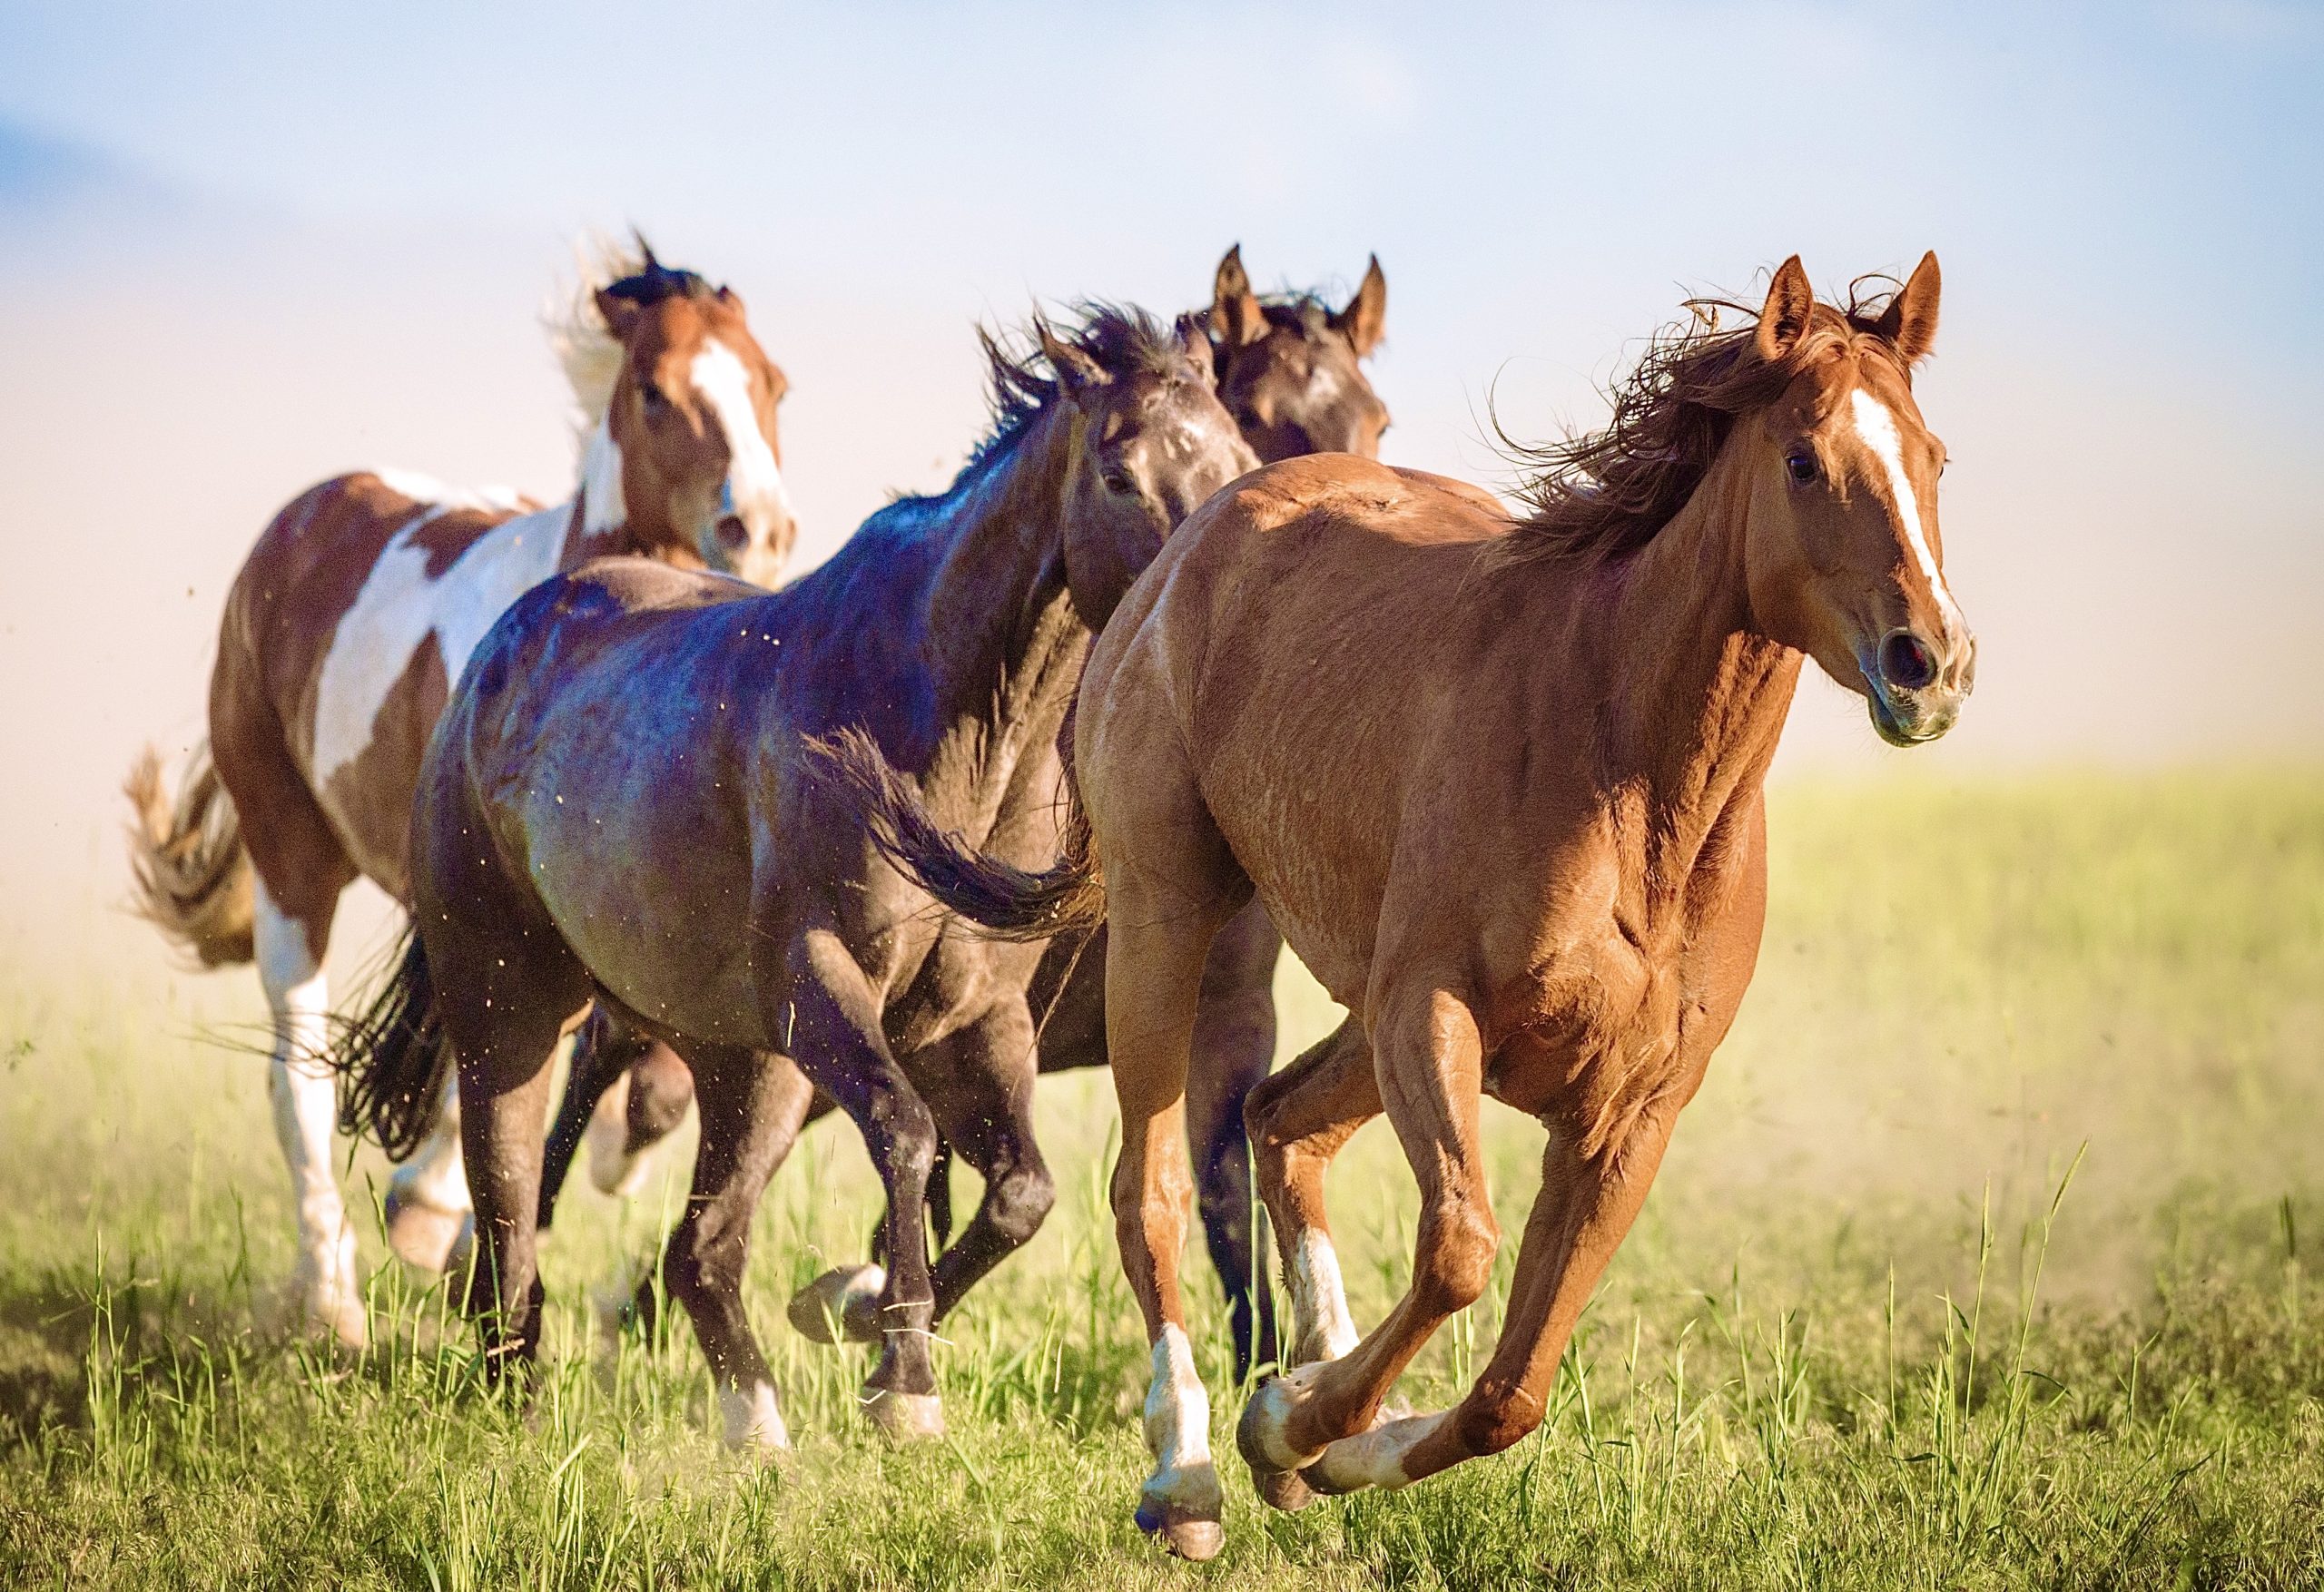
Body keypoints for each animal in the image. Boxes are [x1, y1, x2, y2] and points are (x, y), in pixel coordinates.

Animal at [124, 240, 798, 1349]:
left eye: (774, 383)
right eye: (655, 391)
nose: (763, 528)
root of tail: (303, 517)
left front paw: (608, 1155)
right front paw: (437, 1221)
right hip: (292, 859)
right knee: (297, 1075)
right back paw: (334, 1297)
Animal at [332, 306, 1258, 1449]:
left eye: (1238, 457)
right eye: (1122, 471)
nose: (1209, 600)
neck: (939, 729)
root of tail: (497, 655)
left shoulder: (977, 1019)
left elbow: (1020, 1193)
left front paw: (861, 1316)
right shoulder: (818, 983)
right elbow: (905, 1134)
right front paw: (902, 1376)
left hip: (743, 1065)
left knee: (701, 1248)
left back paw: (754, 1422)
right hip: (514, 1005)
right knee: (509, 1197)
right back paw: (516, 1393)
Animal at [837, 254, 1972, 1557]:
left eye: (1934, 457)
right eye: (1801, 459)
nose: (1931, 663)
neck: (1630, 788)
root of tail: (1188, 549)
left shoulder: (1630, 1111)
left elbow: (1511, 1388)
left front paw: (1320, 1433)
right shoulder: (1434, 1013)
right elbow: (1461, 1252)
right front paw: (1287, 1420)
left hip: (1347, 1011)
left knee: (1278, 1119)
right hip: (1178, 921)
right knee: (1156, 1184)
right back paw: (1187, 1470)